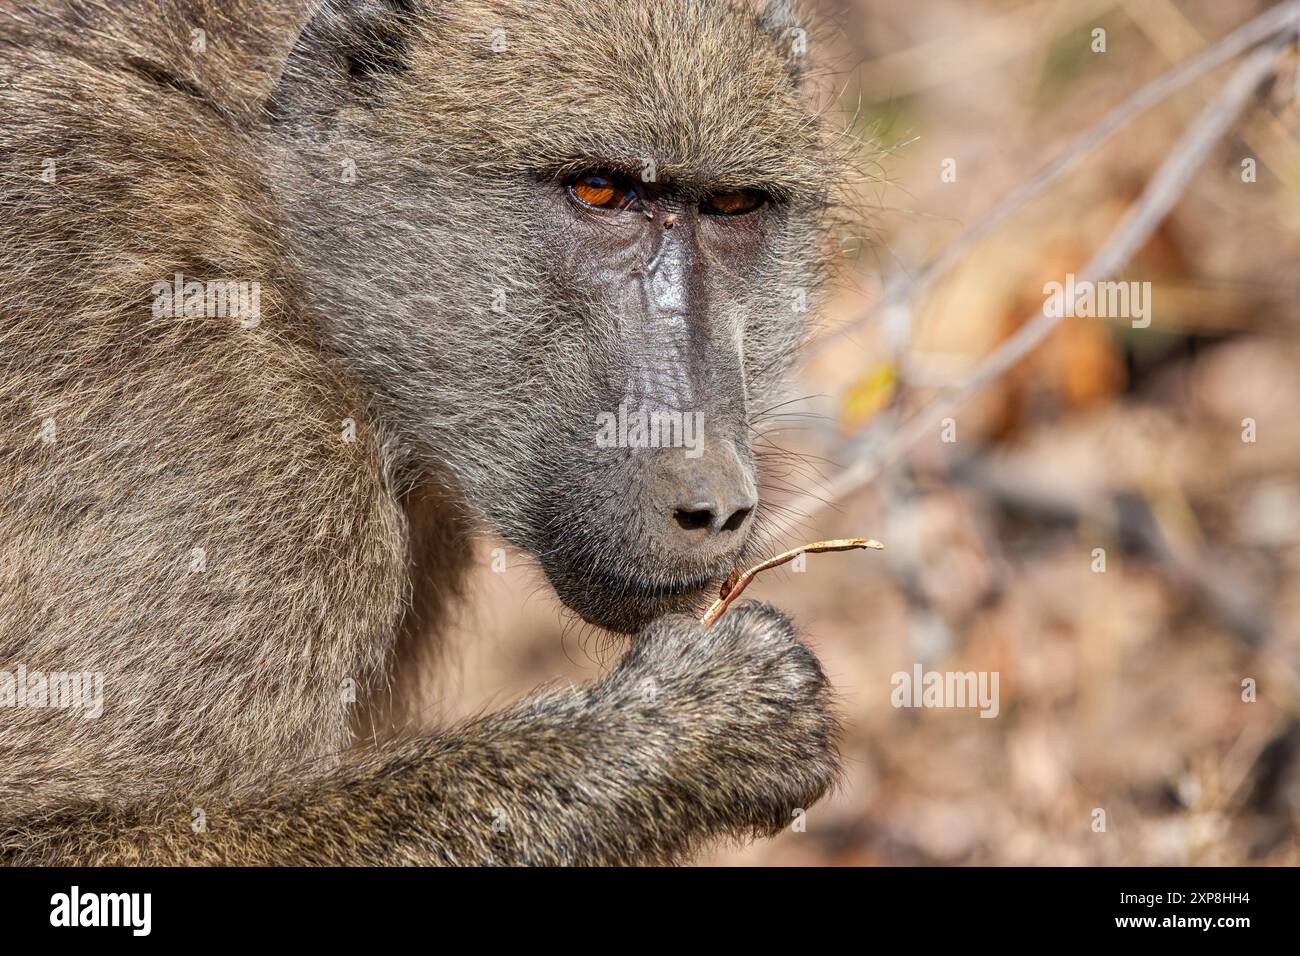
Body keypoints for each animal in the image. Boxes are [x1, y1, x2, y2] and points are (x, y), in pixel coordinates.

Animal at [0, 0, 846, 865]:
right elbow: (50, 835)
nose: (715, 505)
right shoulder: (218, 435)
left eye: (733, 208)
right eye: (600, 191)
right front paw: (706, 721)